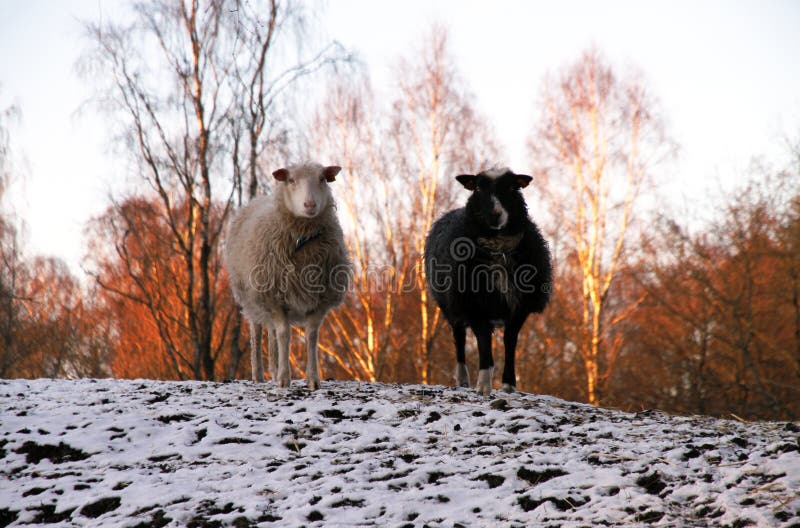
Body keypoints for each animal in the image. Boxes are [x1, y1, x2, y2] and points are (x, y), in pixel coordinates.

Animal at [224, 162, 351, 390]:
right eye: (291, 180)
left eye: (322, 179)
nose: (310, 204)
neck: (303, 239)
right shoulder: (274, 297)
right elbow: (285, 335)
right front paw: (284, 379)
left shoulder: (320, 300)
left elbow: (311, 336)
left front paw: (313, 380)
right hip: (251, 296)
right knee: (257, 331)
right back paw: (259, 375)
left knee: (272, 333)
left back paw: (273, 370)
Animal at [424, 167, 552, 396]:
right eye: (477, 188)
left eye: (512, 187)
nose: (494, 214)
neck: (498, 250)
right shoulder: (474, 306)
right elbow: (484, 343)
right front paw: (483, 385)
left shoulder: (519, 308)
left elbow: (510, 342)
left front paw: (509, 384)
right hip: (451, 306)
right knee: (459, 340)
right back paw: (463, 379)